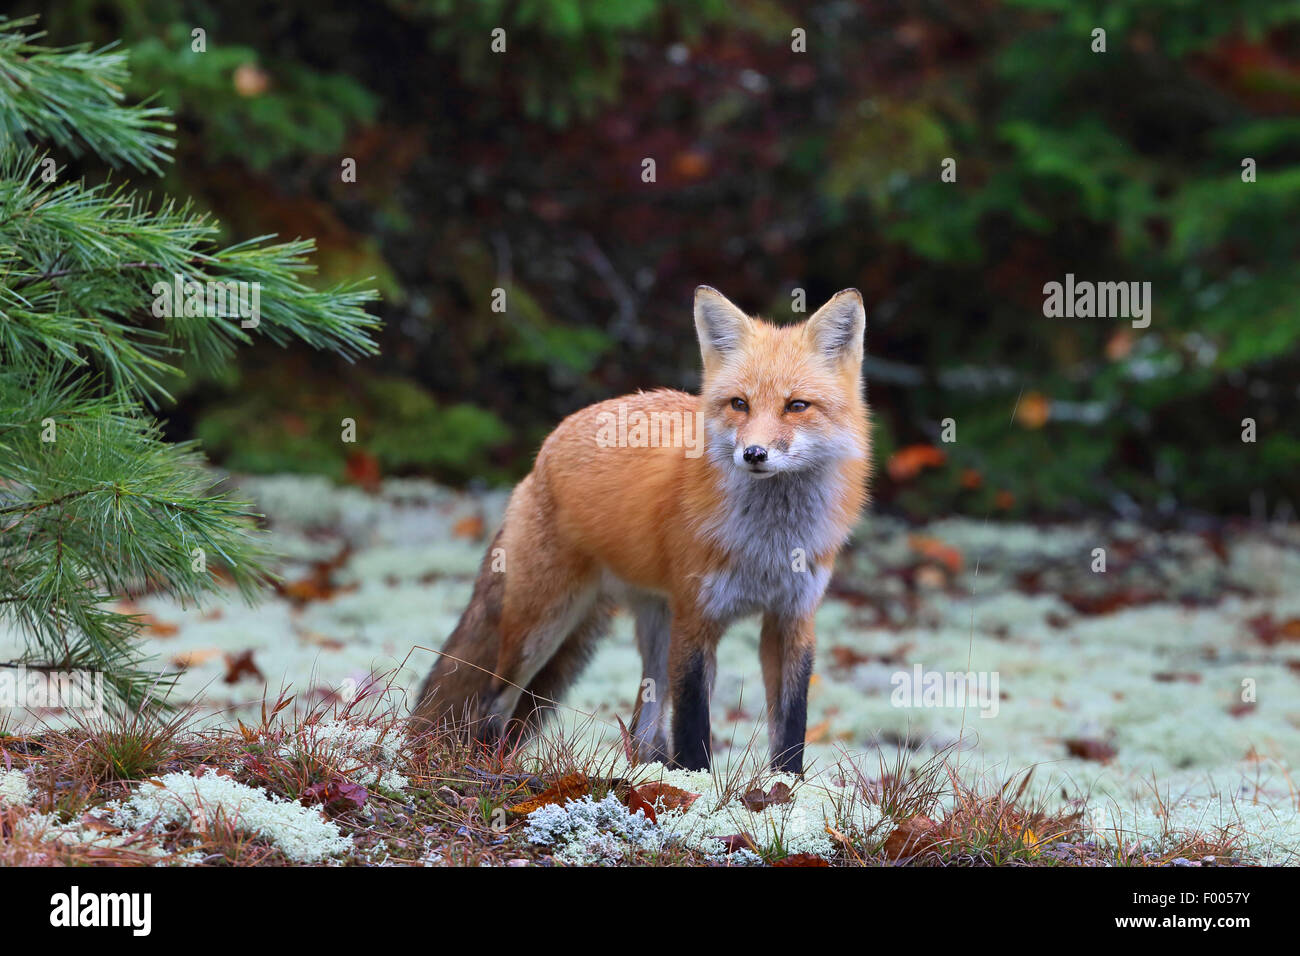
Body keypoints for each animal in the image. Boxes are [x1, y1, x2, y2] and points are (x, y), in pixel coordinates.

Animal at [410, 286, 870, 773]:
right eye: (739, 404)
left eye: (796, 406)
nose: (754, 453)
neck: (769, 546)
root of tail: (546, 448)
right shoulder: (696, 619)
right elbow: (693, 726)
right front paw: (698, 783)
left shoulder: (793, 619)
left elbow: (791, 728)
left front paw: (786, 786)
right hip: (540, 628)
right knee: (493, 700)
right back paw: (490, 767)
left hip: (653, 628)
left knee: (642, 727)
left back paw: (645, 775)